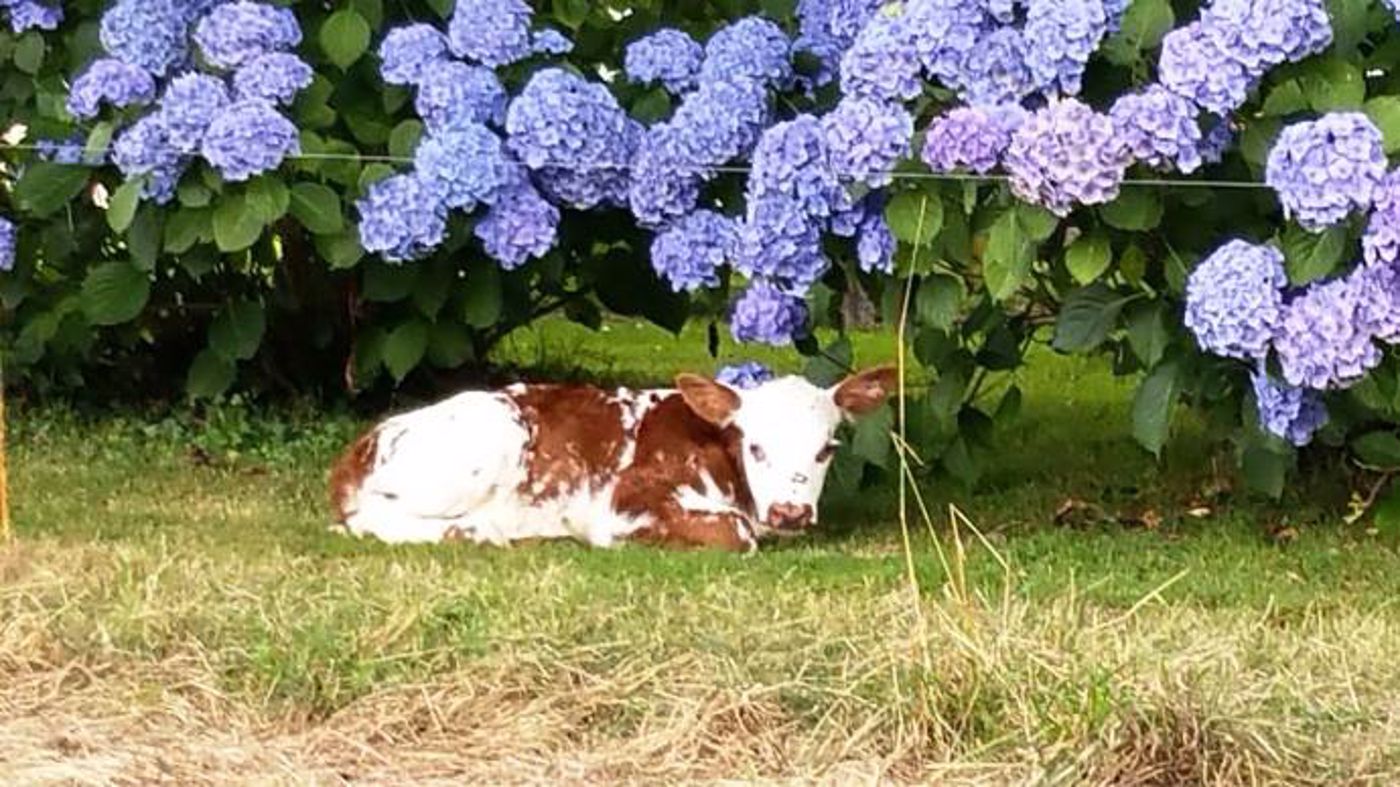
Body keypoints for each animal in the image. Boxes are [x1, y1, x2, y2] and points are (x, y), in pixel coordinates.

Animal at [328, 366, 897, 552]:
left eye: (826, 449)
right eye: (755, 445)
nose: (791, 512)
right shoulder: (626, 496)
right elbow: (738, 533)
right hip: (489, 442)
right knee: (367, 518)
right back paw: (477, 531)